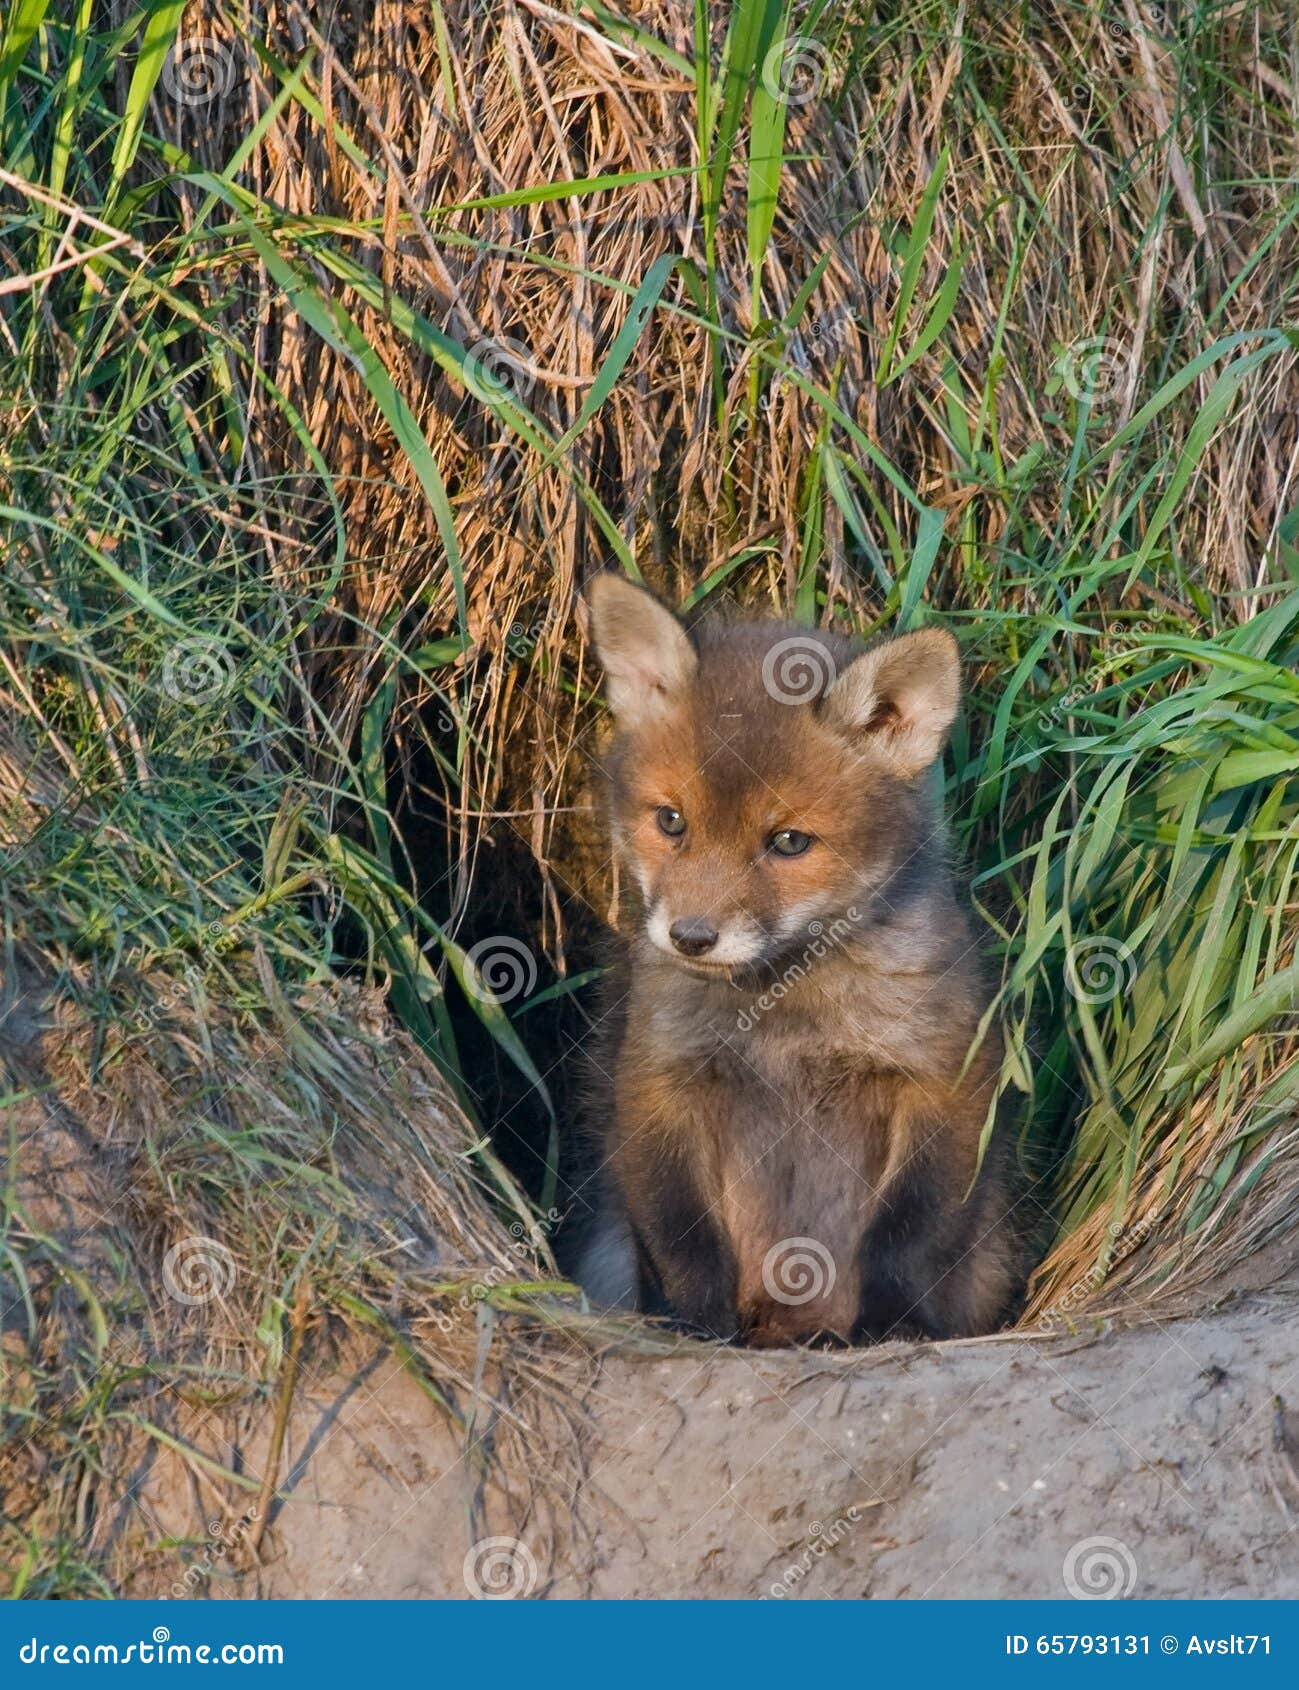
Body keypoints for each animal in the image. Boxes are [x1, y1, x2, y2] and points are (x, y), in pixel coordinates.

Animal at [574, 572, 1028, 1347]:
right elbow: (683, 1240)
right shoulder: (657, 1082)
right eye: (670, 821)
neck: (787, 1017)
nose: (690, 937)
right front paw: (696, 1326)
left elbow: (905, 1237)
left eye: (788, 842)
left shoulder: (947, 1081)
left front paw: (893, 1326)